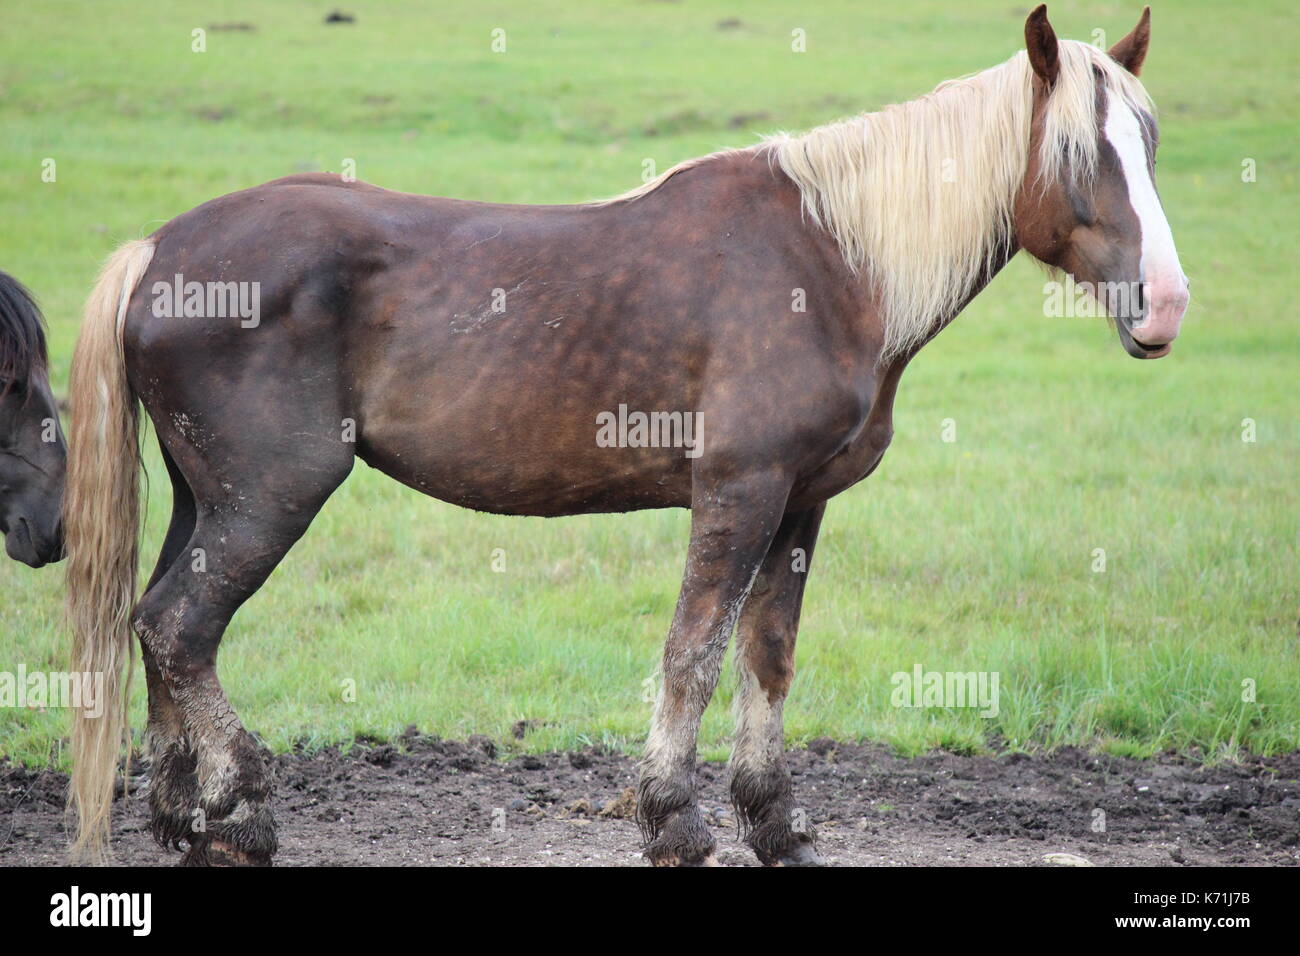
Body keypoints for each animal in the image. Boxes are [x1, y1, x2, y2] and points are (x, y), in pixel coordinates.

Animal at [65, 5, 1188, 866]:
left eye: (1150, 144)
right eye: (1079, 154)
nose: (1166, 306)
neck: (831, 262)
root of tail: (160, 248)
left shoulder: (800, 501)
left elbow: (767, 656)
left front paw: (775, 824)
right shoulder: (739, 489)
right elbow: (693, 650)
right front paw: (675, 820)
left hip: (209, 499)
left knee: (157, 626)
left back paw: (185, 817)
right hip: (271, 497)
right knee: (179, 628)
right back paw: (243, 809)